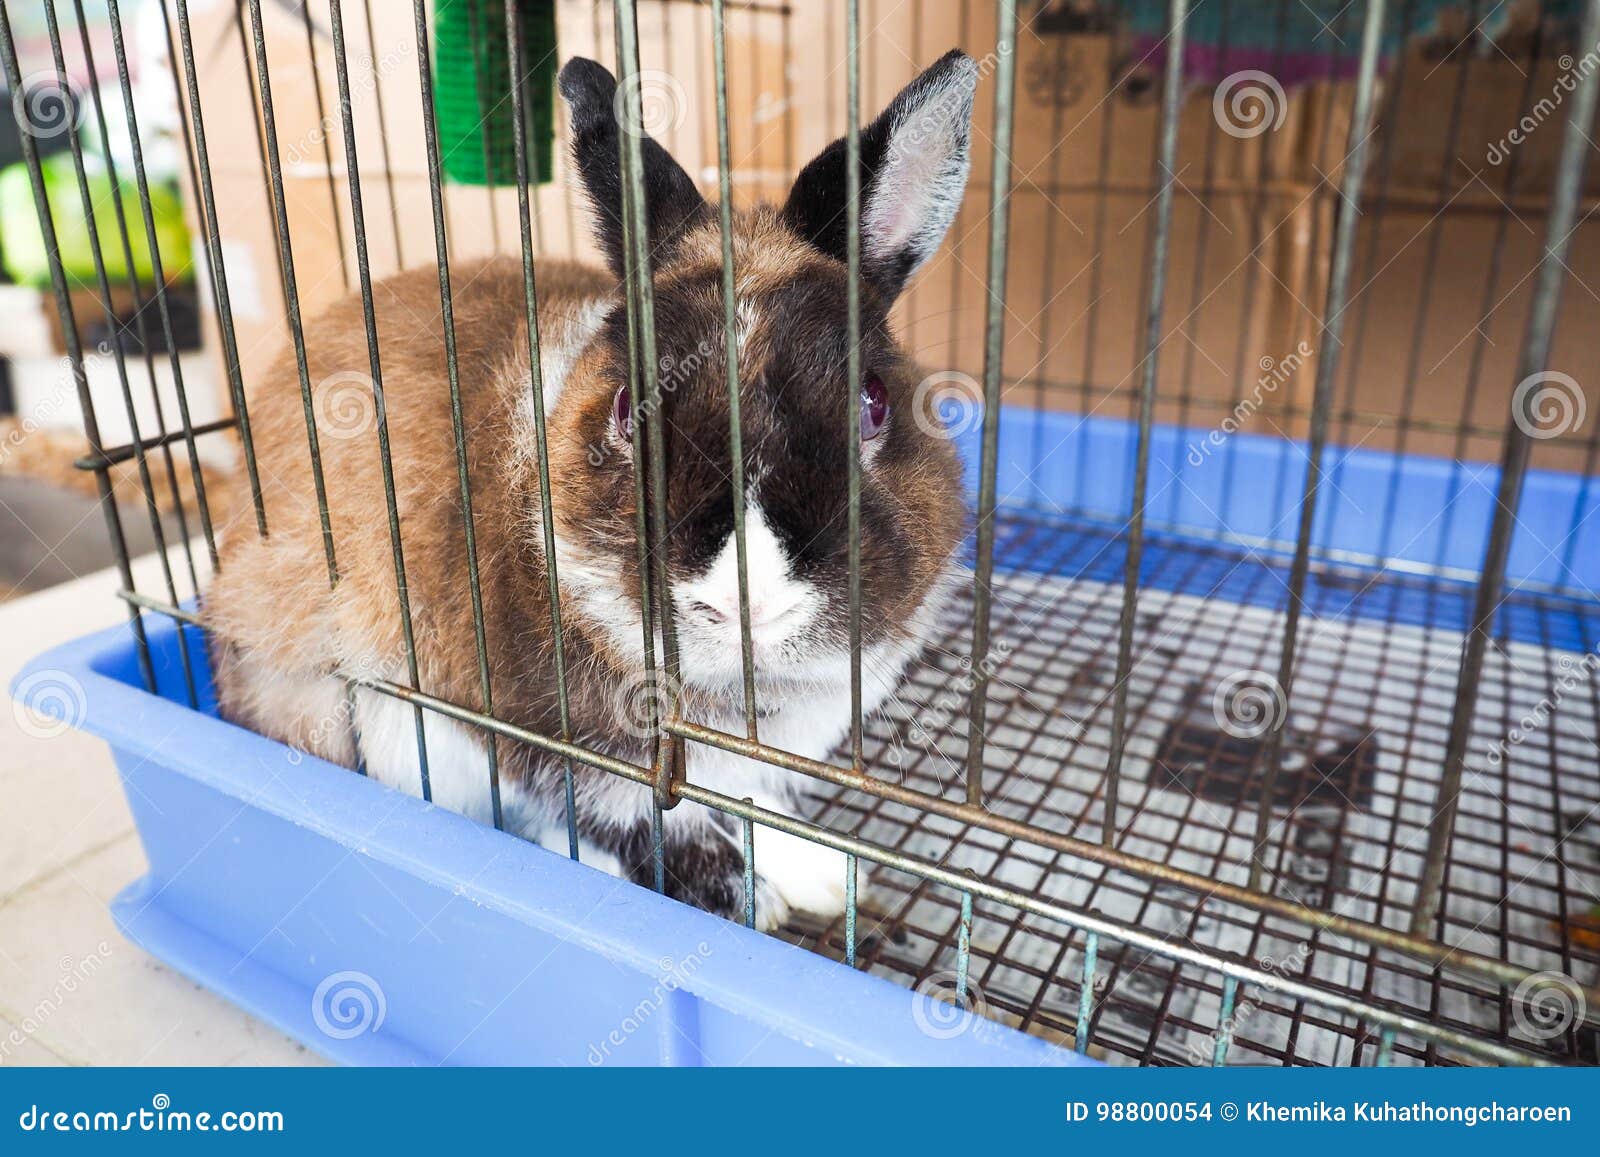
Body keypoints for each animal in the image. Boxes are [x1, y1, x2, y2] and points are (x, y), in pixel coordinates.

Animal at [204, 50, 978, 931]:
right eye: (625, 409)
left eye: (874, 401)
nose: (744, 599)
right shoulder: (561, 747)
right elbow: (649, 822)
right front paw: (750, 901)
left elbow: (750, 800)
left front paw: (824, 872)